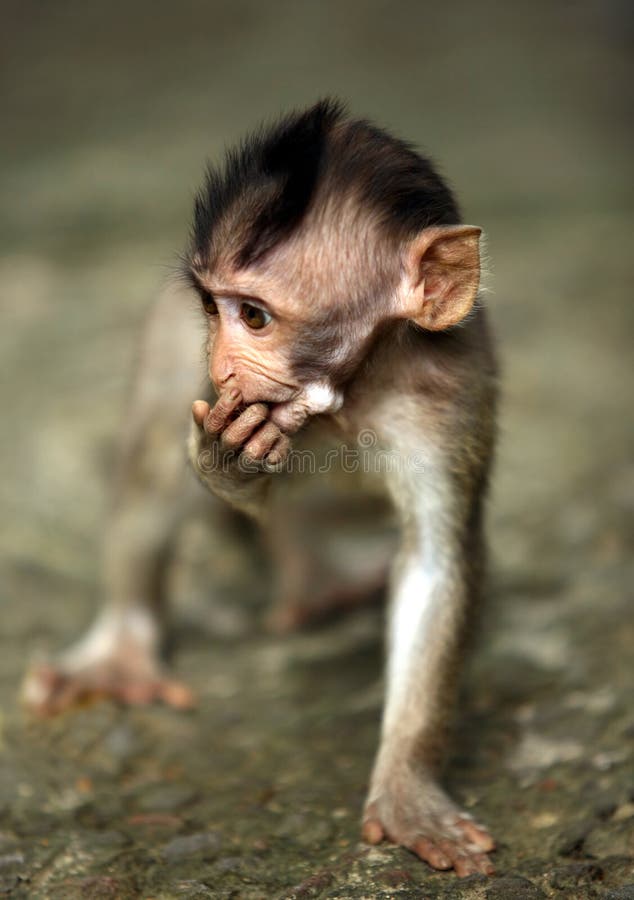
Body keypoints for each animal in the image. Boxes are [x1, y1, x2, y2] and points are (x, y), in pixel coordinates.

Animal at [22, 100, 498, 877]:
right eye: (212, 309)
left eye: (254, 316)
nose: (220, 363)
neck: (356, 388)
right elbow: (232, 483)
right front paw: (228, 459)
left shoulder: (449, 396)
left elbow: (435, 562)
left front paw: (407, 791)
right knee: (156, 462)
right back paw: (123, 647)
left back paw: (324, 583)